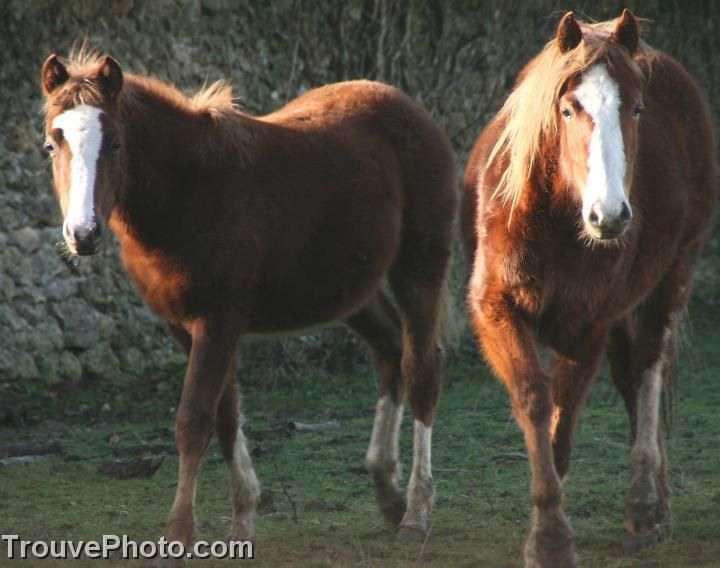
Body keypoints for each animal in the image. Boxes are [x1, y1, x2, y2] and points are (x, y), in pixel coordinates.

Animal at [40, 48, 457, 556]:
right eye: (51, 144)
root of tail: (412, 110)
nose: (83, 235)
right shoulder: (183, 325)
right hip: (351, 292)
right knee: (390, 352)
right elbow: (225, 415)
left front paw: (180, 534)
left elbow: (194, 419)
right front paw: (242, 519)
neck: (190, 191)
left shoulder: (218, 320)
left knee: (421, 370)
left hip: (419, 267)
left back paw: (416, 512)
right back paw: (388, 494)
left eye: (116, 143)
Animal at [463, 10, 716, 567]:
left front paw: (550, 541)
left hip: (676, 271)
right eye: (567, 109)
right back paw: (656, 500)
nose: (610, 216)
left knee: (647, 371)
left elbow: (561, 421)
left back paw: (643, 506)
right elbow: (536, 401)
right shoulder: (497, 311)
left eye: (637, 108)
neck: (555, 225)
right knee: (630, 374)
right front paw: (549, 535)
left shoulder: (586, 328)